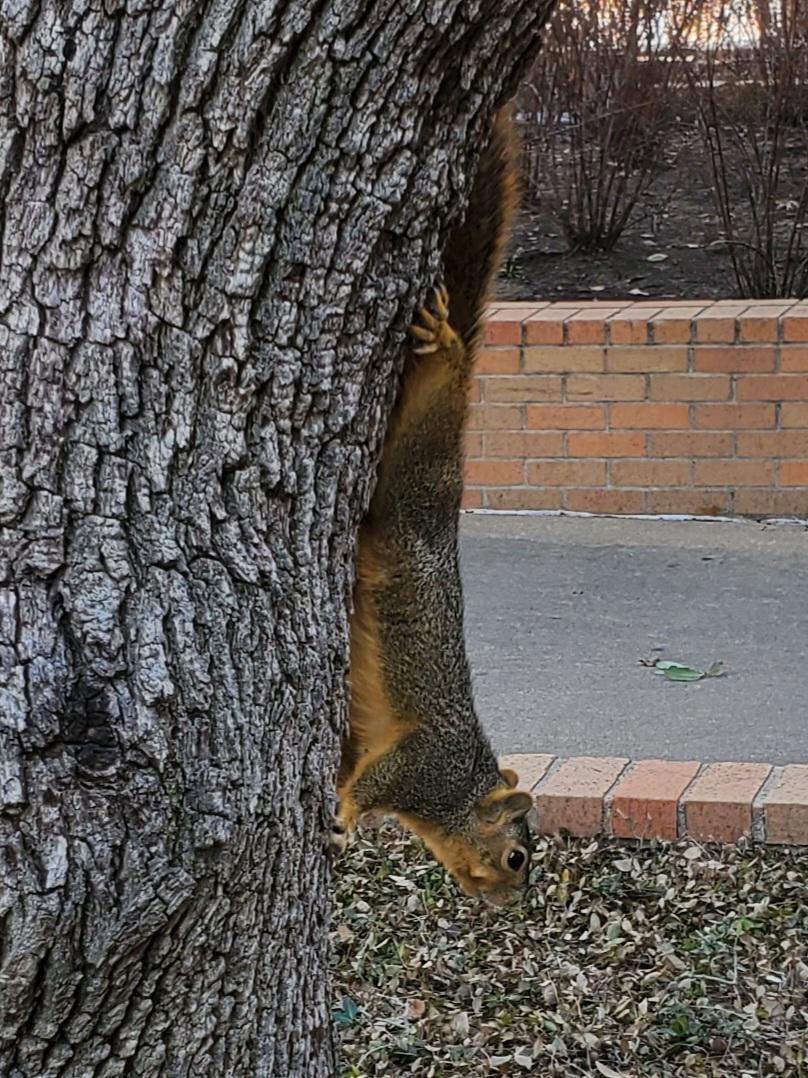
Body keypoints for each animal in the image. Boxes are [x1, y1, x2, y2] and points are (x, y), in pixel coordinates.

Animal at [333, 108, 534, 906]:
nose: (506, 906)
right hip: (422, 469)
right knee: (439, 390)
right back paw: (445, 343)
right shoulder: (420, 766)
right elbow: (368, 784)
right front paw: (343, 817)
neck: (458, 794)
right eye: (516, 858)